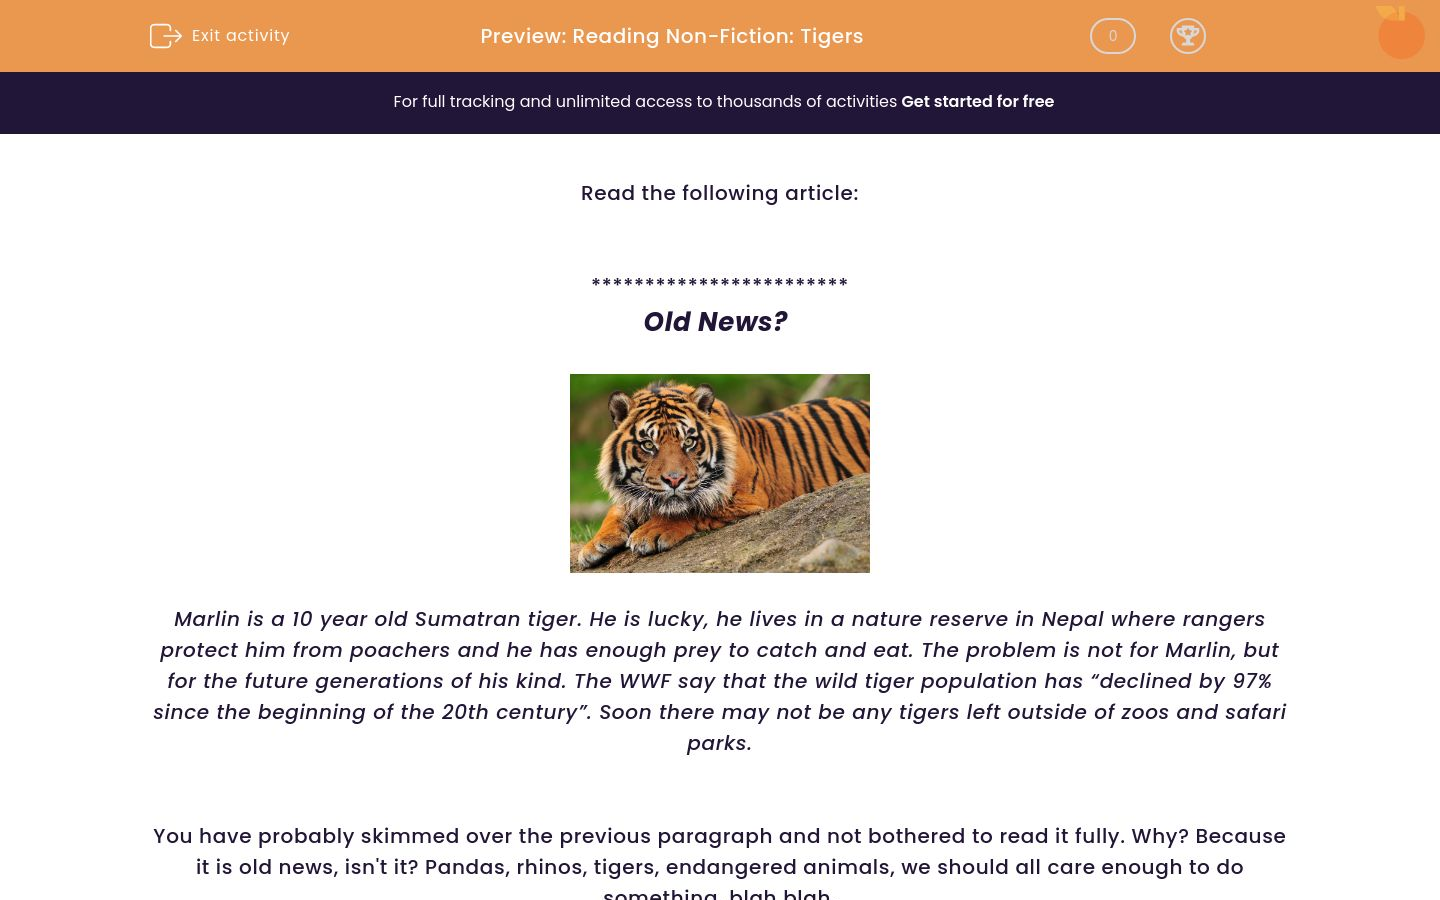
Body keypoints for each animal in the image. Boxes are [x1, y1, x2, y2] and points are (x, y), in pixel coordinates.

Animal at [576, 382, 870, 567]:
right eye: (649, 445)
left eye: (689, 442)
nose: (674, 480)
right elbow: (616, 510)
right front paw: (594, 546)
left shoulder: (746, 498)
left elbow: (691, 509)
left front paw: (650, 533)